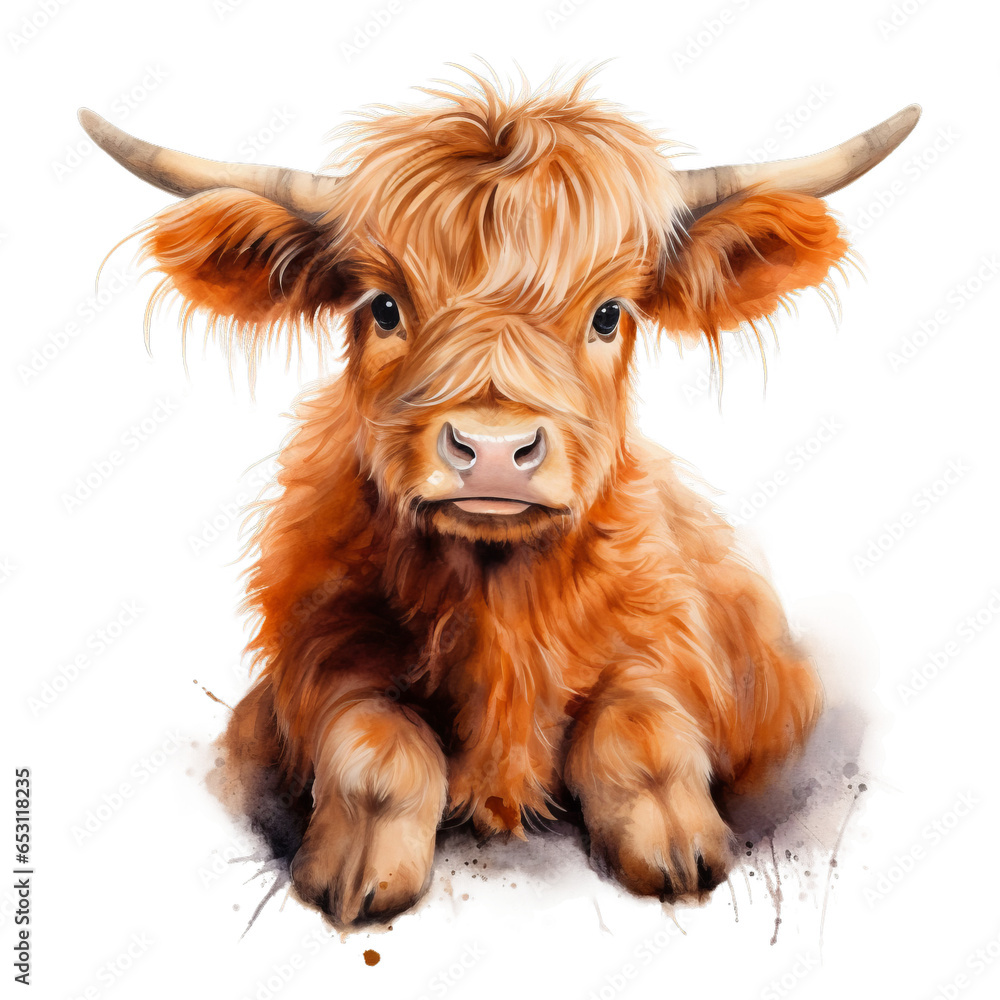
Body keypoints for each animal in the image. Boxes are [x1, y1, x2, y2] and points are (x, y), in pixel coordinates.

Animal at [80, 69, 919, 925]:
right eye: (384, 306)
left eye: (609, 314)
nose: (491, 450)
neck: (495, 595)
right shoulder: (310, 665)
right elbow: (376, 743)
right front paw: (358, 867)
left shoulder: (671, 644)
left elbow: (640, 730)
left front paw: (678, 847)